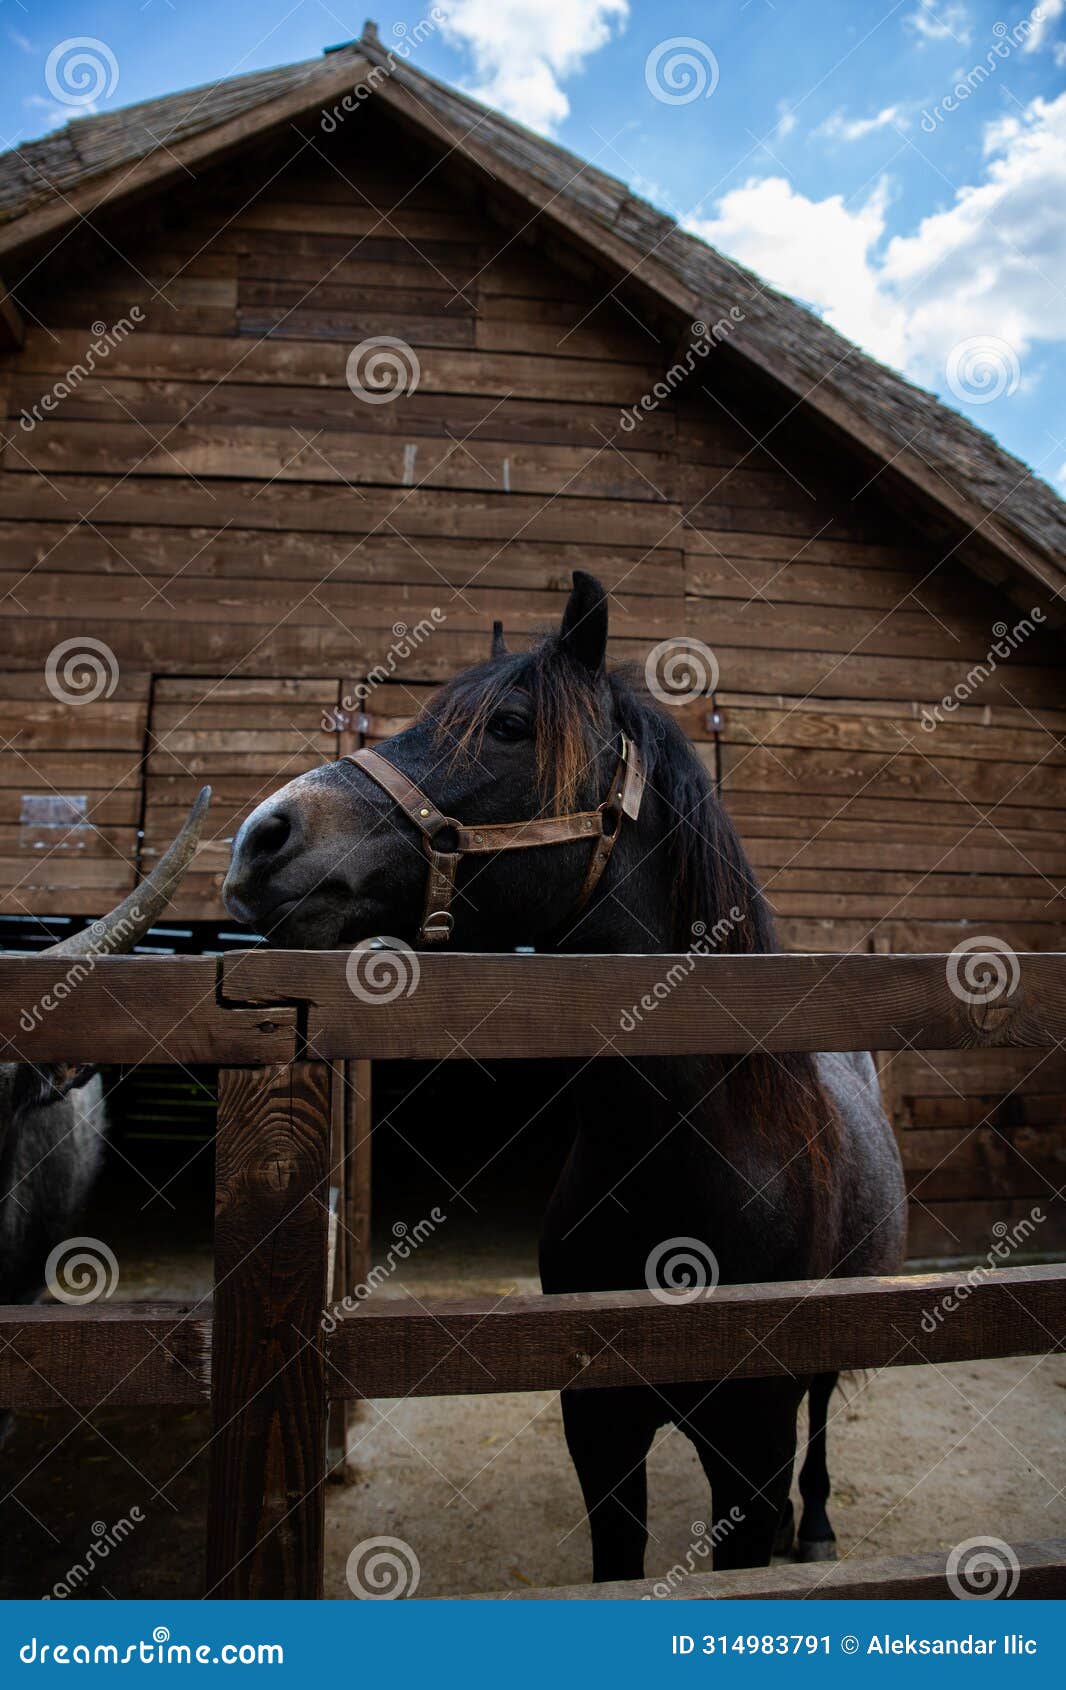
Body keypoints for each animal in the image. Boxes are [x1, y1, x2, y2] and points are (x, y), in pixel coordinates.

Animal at [223, 571, 906, 1580]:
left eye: (508, 726)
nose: (260, 838)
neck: (677, 1167)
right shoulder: (599, 1428)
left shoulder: (749, 1446)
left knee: (822, 1414)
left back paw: (815, 1525)